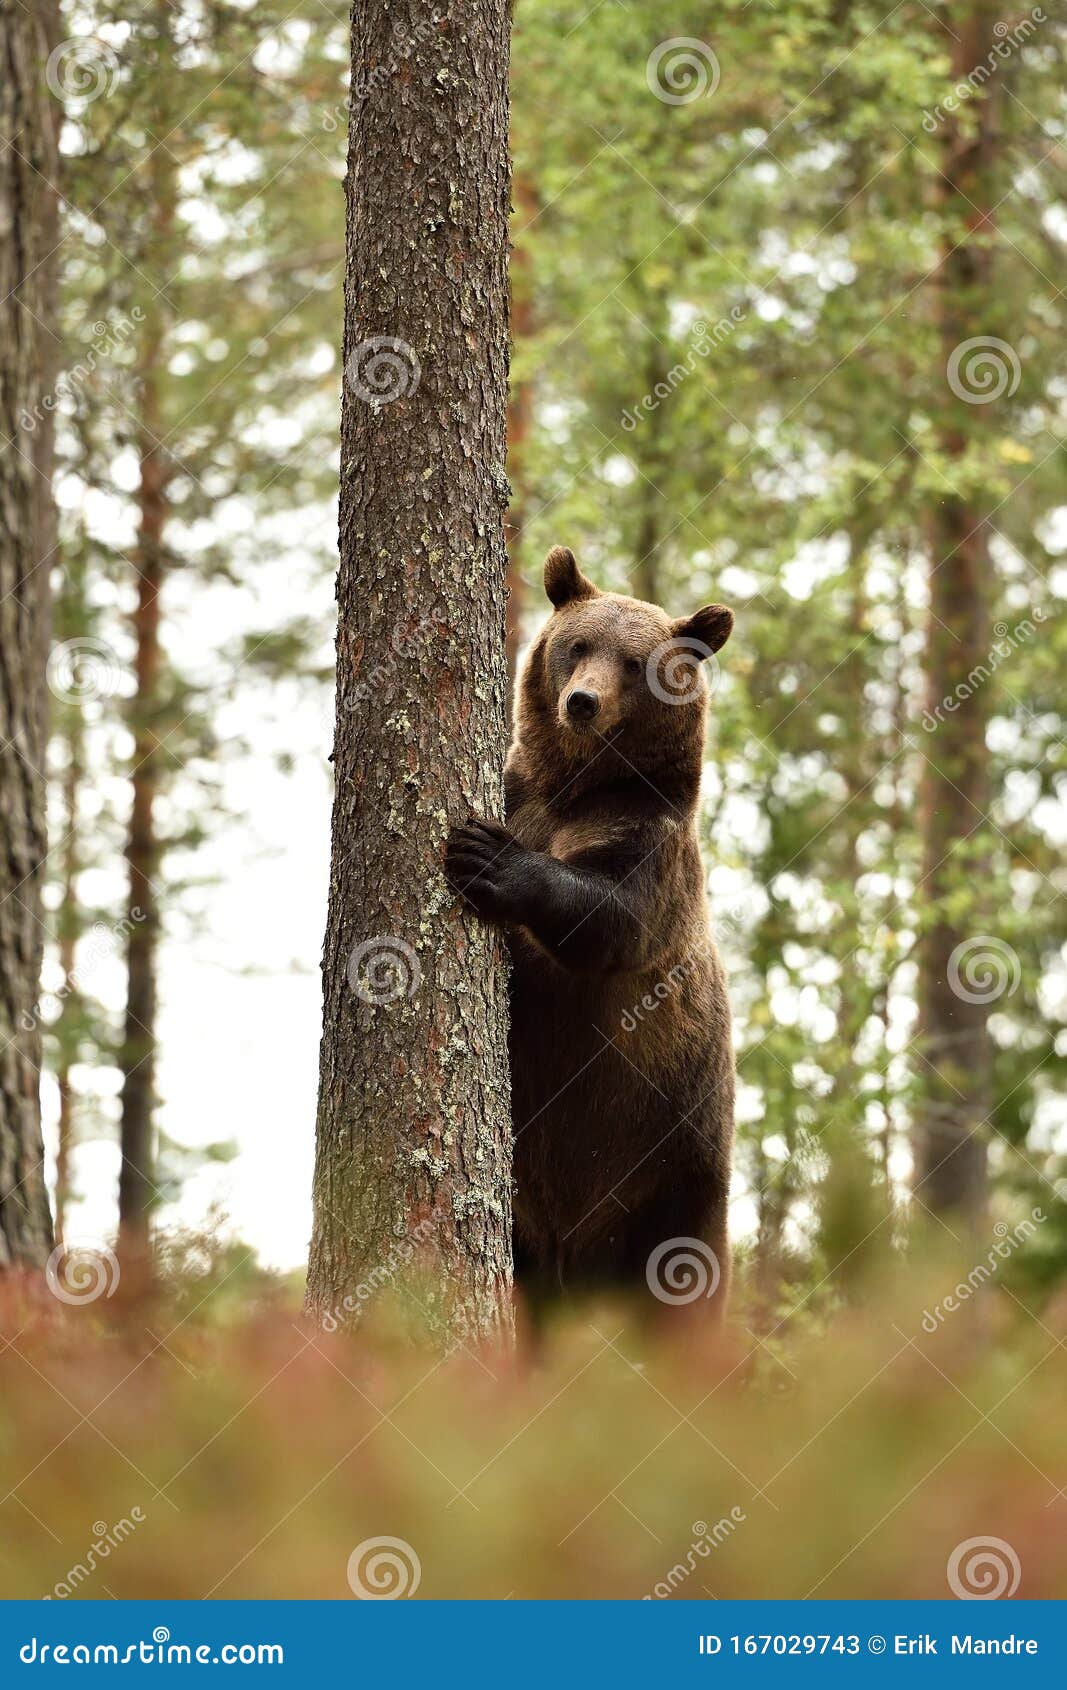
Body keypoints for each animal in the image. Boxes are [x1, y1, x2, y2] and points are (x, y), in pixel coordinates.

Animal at [445, 546, 735, 1316]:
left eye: (636, 664)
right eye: (578, 646)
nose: (582, 702)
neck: (576, 787)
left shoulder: (648, 837)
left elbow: (612, 915)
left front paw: (486, 856)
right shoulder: (523, 790)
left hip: (672, 1165)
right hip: (532, 1216)